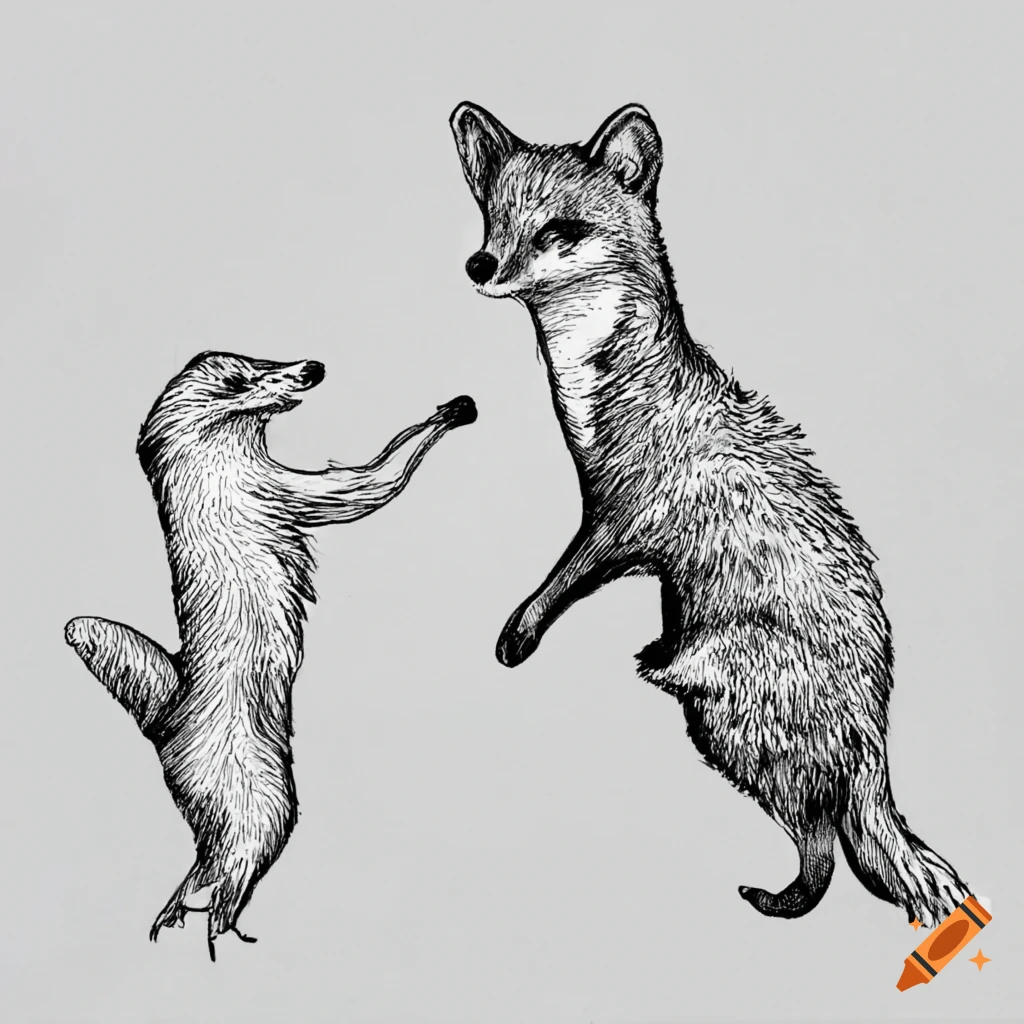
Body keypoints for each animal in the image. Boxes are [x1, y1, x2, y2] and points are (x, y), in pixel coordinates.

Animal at [450, 100, 971, 926]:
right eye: (491, 219)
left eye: (559, 228)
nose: (480, 265)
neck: (624, 404)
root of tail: (875, 731)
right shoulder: (612, 514)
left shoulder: (623, 517)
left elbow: (558, 581)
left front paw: (516, 637)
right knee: (830, 838)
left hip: (723, 719)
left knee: (821, 838)